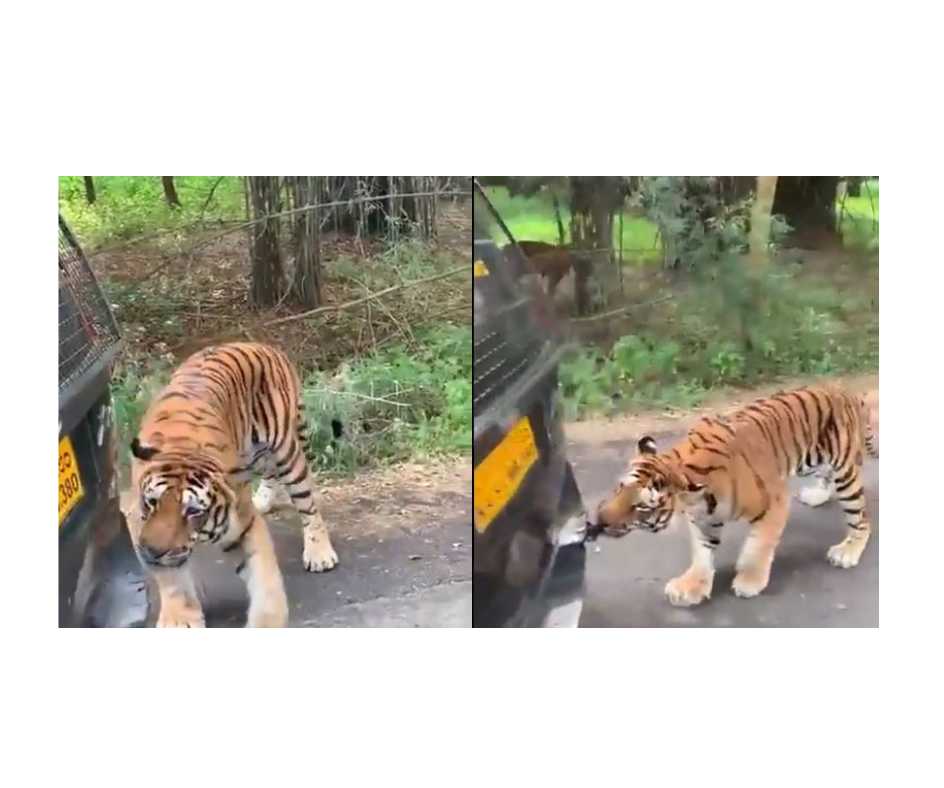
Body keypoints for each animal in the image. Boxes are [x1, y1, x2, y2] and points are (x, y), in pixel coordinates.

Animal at [126, 342, 338, 628]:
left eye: (193, 511)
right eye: (152, 502)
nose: (154, 552)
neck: (181, 447)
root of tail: (264, 345)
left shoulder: (244, 523)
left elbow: (264, 575)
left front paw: (267, 620)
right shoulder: (142, 526)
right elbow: (173, 581)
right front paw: (180, 619)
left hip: (287, 453)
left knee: (307, 504)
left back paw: (319, 554)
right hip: (256, 457)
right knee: (270, 474)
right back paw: (264, 500)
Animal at [592, 384, 878, 607]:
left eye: (640, 507)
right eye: (619, 488)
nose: (598, 521)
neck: (695, 497)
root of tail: (847, 393)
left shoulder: (775, 501)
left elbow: (757, 546)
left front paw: (749, 581)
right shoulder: (702, 518)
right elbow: (702, 552)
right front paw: (692, 586)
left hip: (845, 473)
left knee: (861, 517)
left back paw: (847, 552)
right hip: (812, 461)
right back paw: (817, 495)